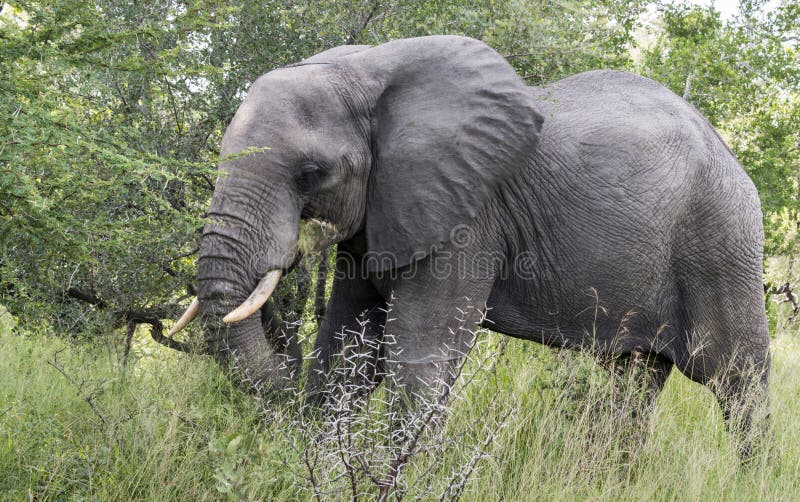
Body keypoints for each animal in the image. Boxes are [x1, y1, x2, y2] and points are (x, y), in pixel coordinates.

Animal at [169, 36, 770, 458]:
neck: (366, 69)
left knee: (737, 380)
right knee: (631, 382)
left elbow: (417, 357)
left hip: (722, 239)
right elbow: (347, 344)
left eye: (311, 173)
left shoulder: (468, 214)